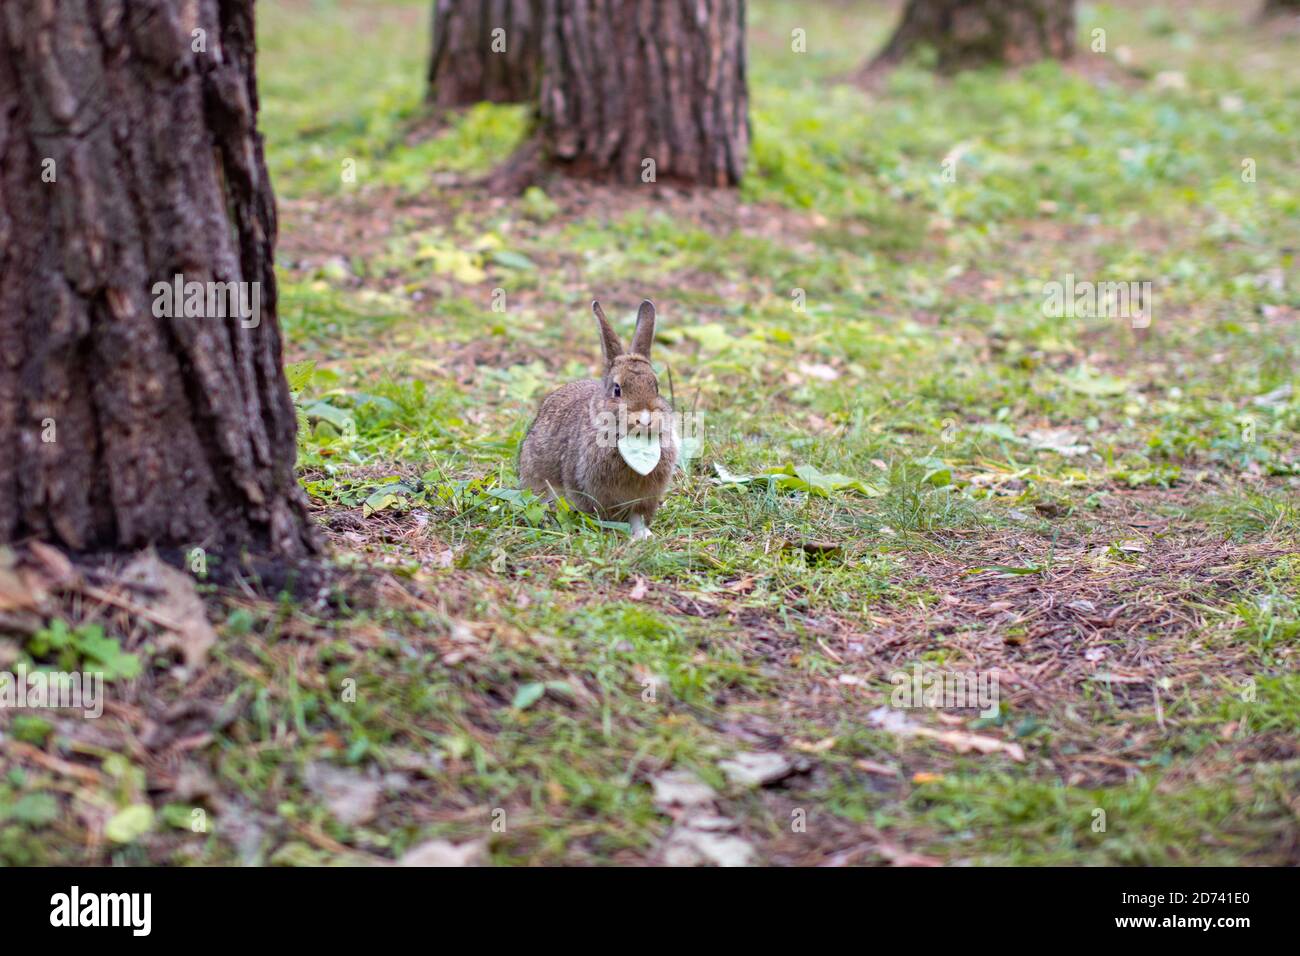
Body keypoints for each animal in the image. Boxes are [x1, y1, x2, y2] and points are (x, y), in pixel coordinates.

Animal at [519, 299, 677, 540]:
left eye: (656, 387)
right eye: (617, 389)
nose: (645, 419)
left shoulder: (645, 497)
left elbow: (638, 517)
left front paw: (643, 535)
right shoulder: (586, 488)